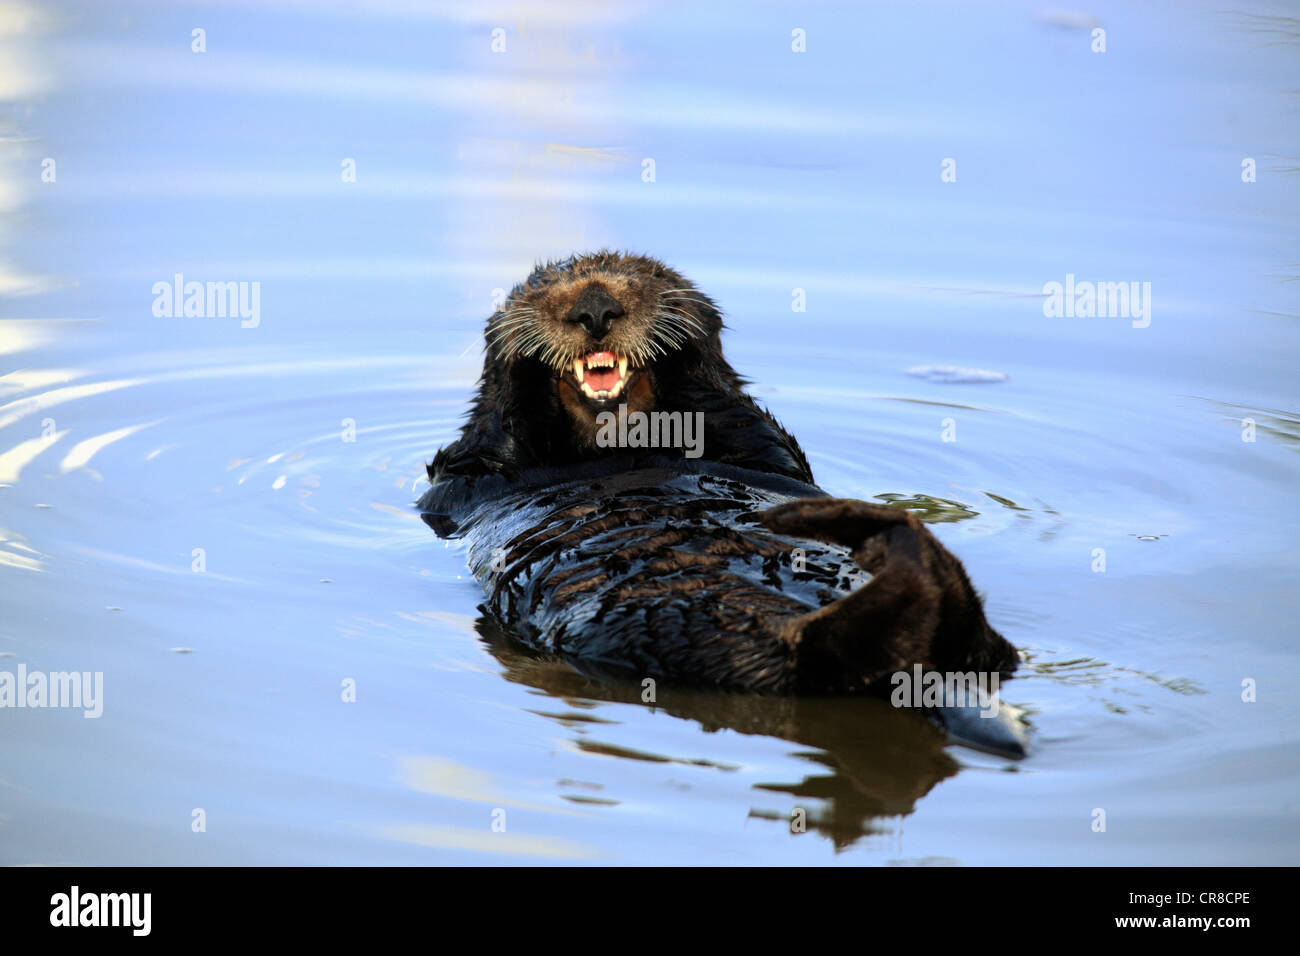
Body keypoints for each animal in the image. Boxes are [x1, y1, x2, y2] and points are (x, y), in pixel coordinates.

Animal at [419, 252, 1022, 748]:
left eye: (649, 277)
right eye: (545, 285)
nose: (594, 305)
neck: (621, 450)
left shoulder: (755, 443)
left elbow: (727, 405)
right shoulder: (467, 476)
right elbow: (494, 425)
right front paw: (518, 357)